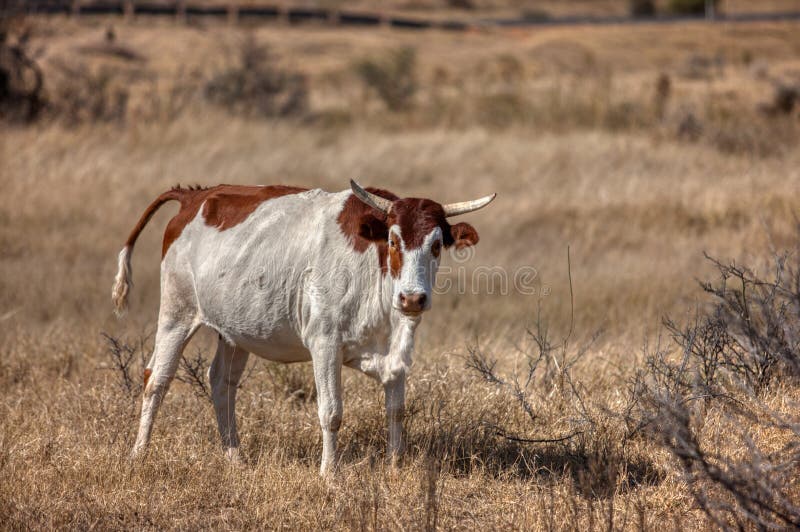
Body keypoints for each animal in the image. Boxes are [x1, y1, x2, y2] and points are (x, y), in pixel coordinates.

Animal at [111, 180, 495, 475]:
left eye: (436, 245)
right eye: (393, 241)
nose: (412, 298)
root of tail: (195, 197)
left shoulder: (395, 351)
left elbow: (396, 411)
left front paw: (394, 468)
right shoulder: (324, 344)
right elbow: (331, 412)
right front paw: (329, 474)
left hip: (233, 331)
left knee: (221, 383)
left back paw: (234, 457)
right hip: (176, 313)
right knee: (156, 380)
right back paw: (138, 454)